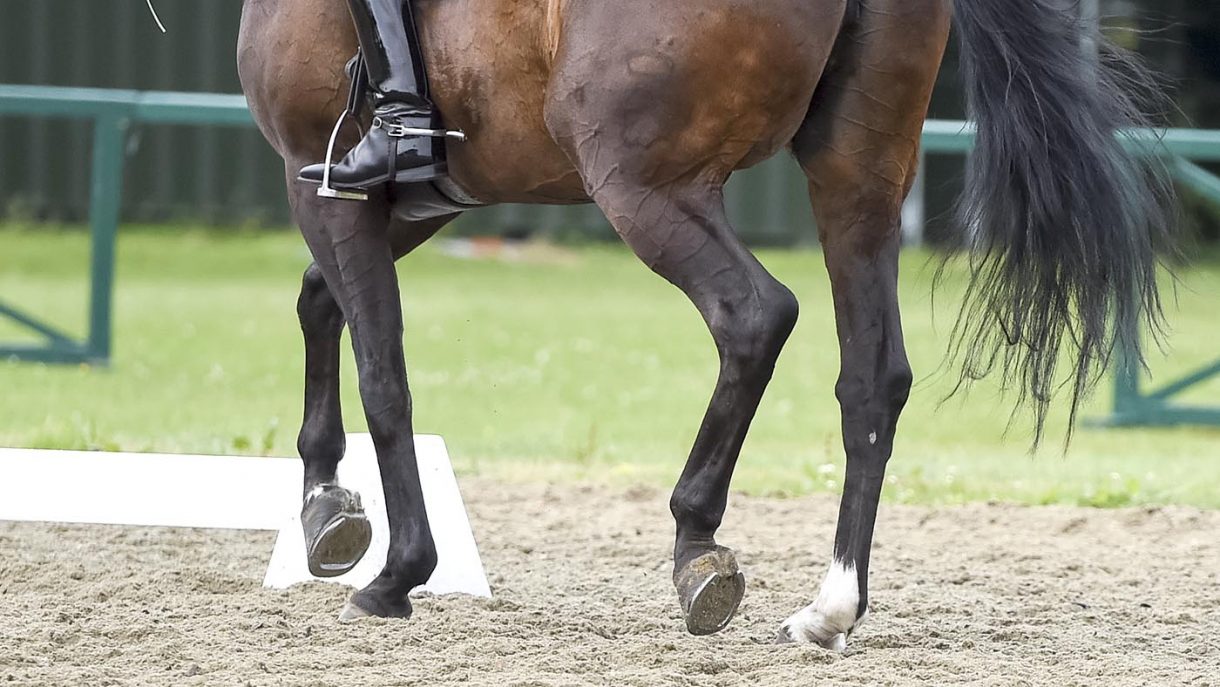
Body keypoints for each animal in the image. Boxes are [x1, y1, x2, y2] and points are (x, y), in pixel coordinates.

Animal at [236, 0, 1171, 646]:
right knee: (873, 377)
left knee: (754, 315)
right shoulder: (424, 194)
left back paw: (698, 546)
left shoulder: (319, 178)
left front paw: (396, 570)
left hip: (645, 184)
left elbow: (382, 369)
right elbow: (321, 301)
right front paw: (325, 503)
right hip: (858, 177)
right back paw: (829, 608)